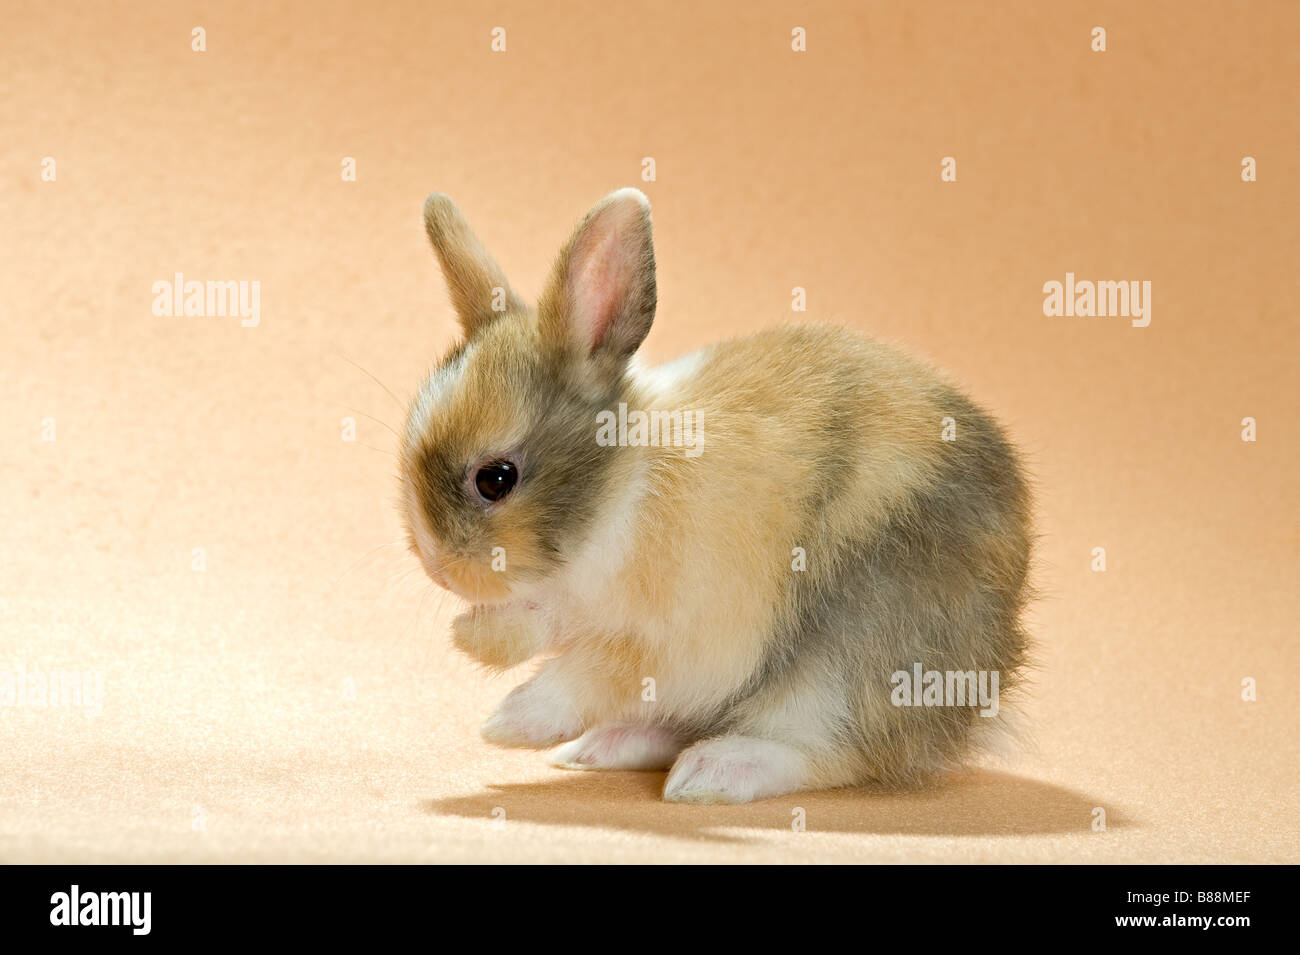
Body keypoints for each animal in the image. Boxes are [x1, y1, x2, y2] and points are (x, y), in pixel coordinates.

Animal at [399, 187, 1033, 803]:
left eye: (495, 479)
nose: (435, 567)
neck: (623, 492)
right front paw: (477, 638)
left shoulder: (681, 639)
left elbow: (592, 674)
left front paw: (508, 720)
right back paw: (600, 748)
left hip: (854, 664)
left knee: (839, 753)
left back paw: (711, 772)